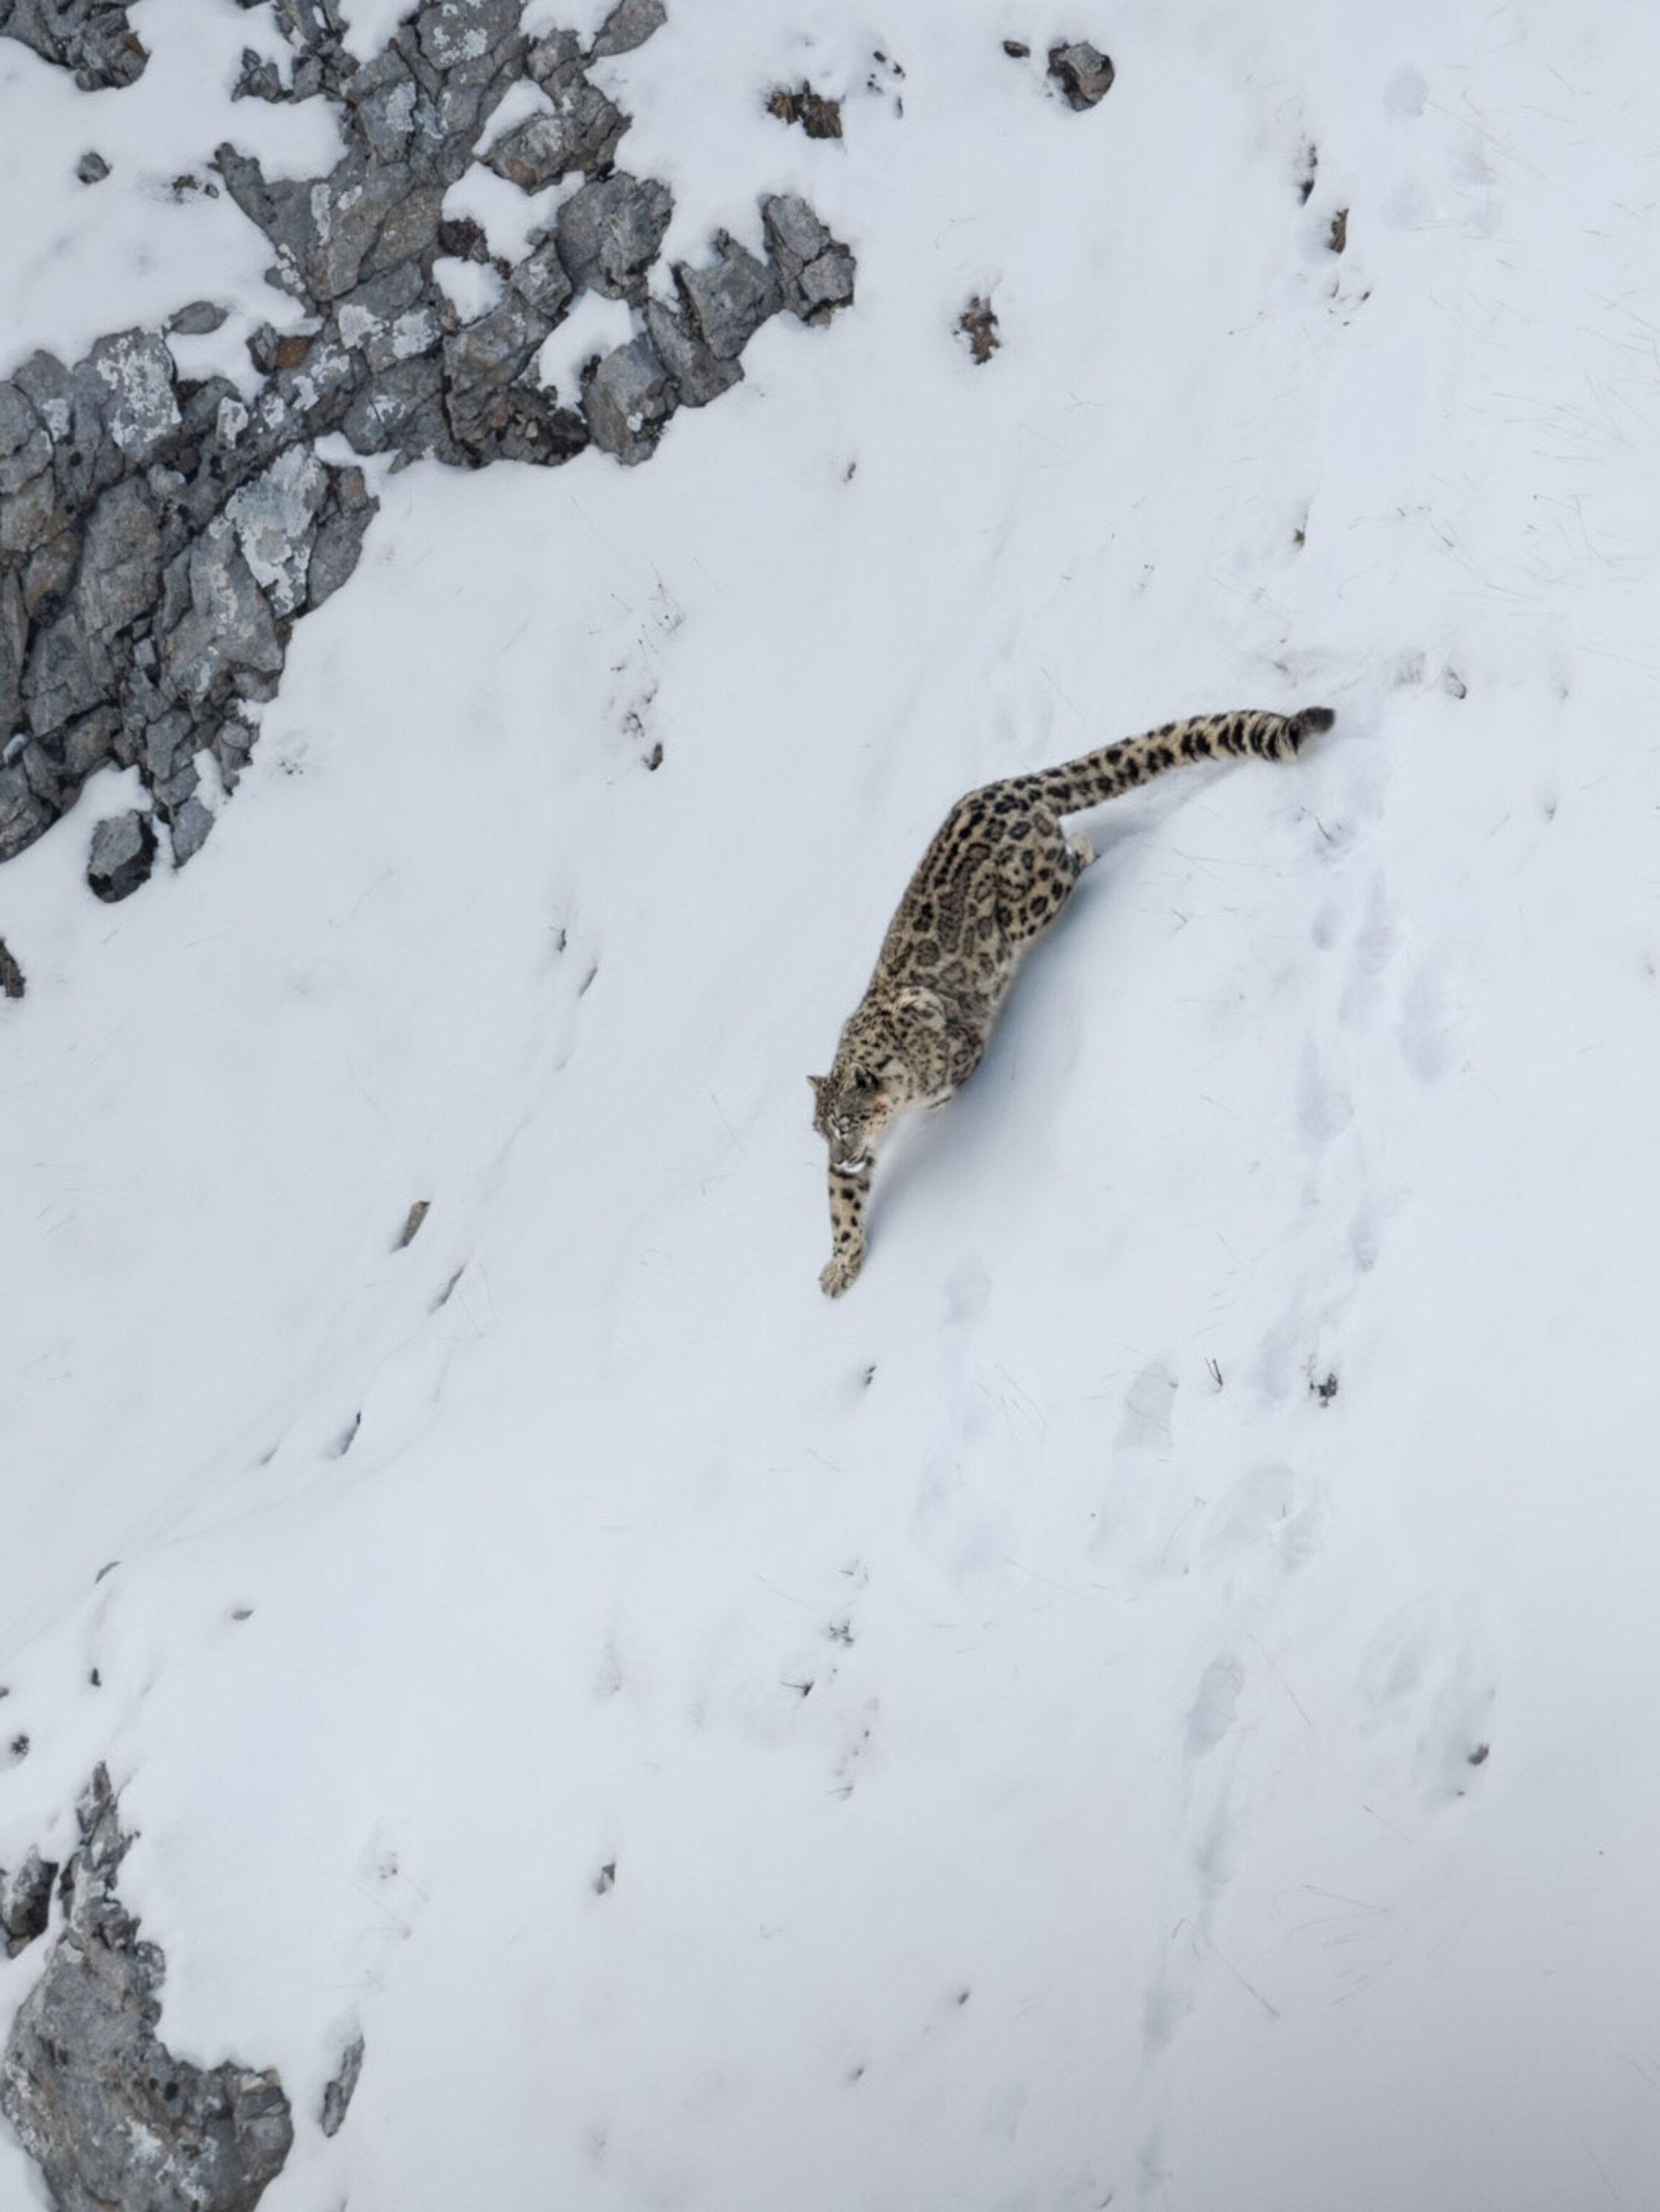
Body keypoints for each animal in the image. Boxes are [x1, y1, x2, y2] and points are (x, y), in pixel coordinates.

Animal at [810, 704, 1334, 1296]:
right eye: (822, 1132)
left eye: (847, 1122)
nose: (843, 1157)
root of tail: (1002, 788)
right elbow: (842, 1205)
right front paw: (841, 1263)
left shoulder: (958, 1057)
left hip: (1029, 902)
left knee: (1064, 862)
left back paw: (1084, 847)